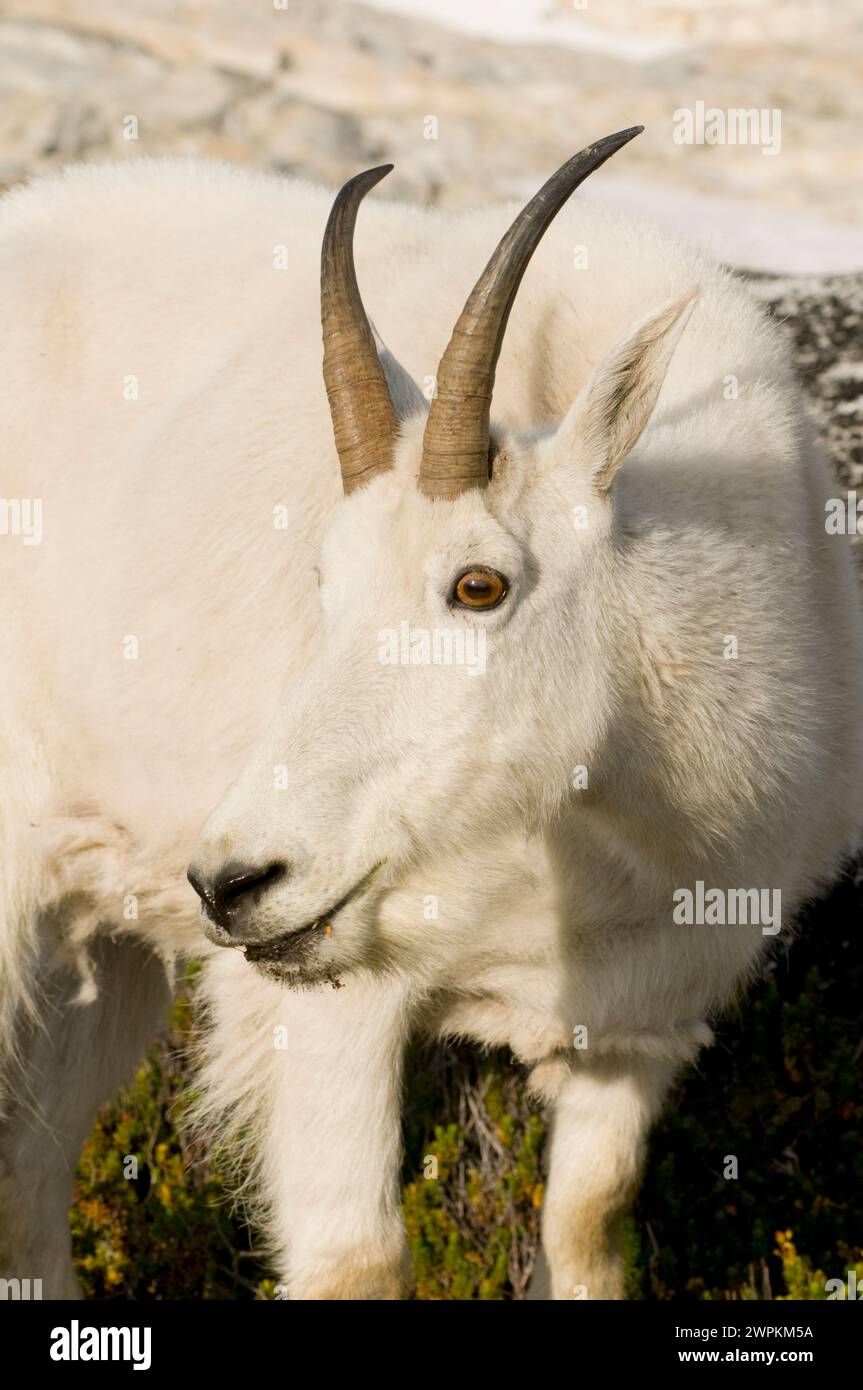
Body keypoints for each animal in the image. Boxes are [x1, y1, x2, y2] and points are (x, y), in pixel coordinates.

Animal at [0, 129, 860, 1299]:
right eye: (323, 577)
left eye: (477, 585)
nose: (233, 882)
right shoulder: (335, 1002)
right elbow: (355, 1259)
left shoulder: (633, 1033)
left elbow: (588, 1231)